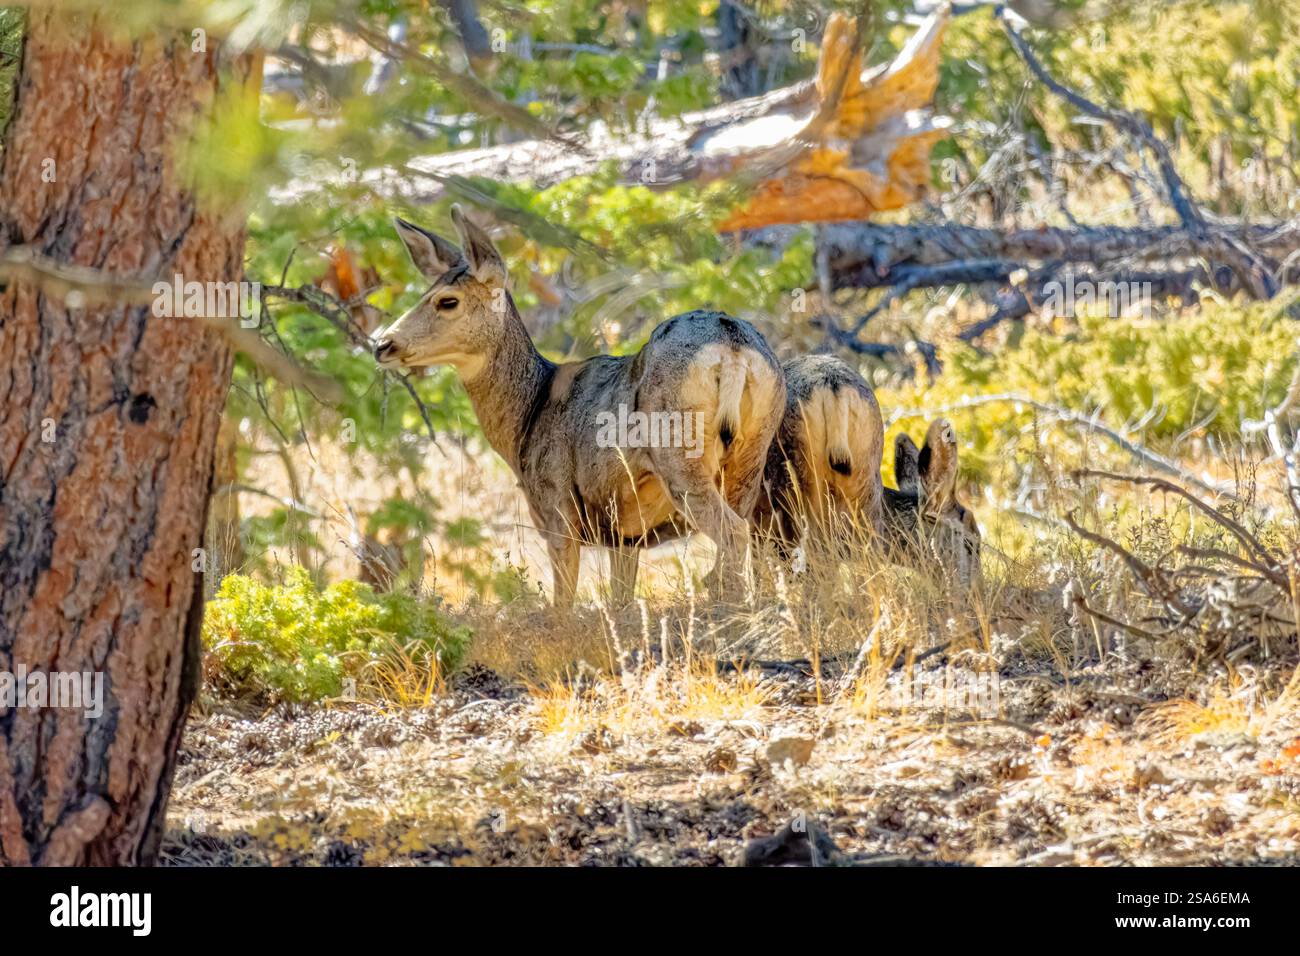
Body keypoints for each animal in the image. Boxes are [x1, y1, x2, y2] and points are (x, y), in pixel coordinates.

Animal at [372, 206, 786, 608]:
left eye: (447, 301)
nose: (383, 344)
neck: (528, 413)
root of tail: (731, 347)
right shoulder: (626, 535)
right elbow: (621, 599)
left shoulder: (558, 508)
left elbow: (562, 606)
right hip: (750, 453)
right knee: (751, 537)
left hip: (680, 450)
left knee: (732, 533)